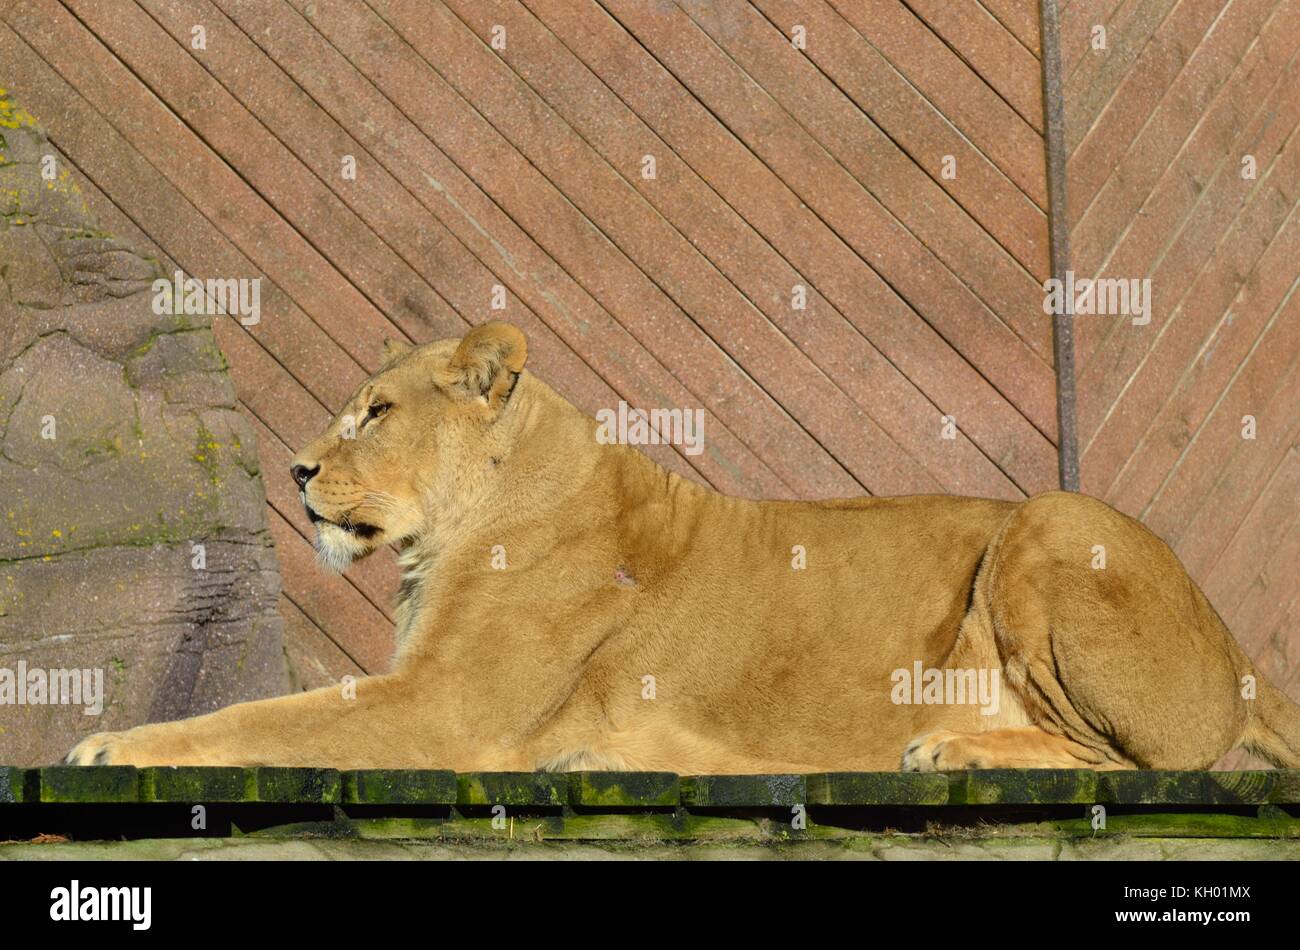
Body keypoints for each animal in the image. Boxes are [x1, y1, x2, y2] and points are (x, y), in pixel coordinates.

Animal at [67, 322, 1300, 773]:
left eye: (374, 411)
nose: (295, 473)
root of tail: (1237, 647)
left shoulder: (447, 712)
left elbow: (257, 718)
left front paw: (113, 745)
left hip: (1049, 517)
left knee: (1147, 764)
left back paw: (951, 750)